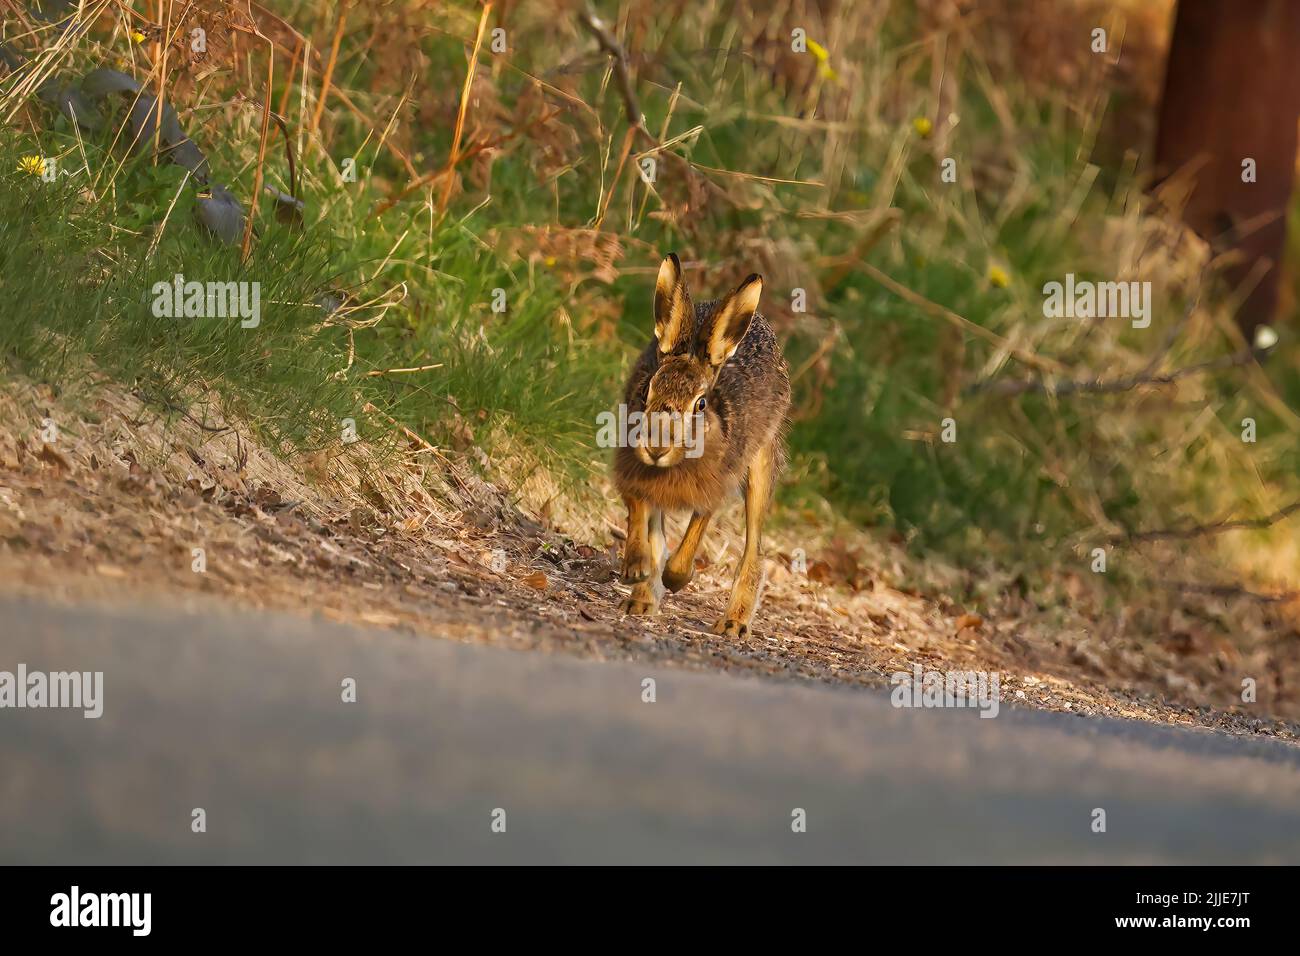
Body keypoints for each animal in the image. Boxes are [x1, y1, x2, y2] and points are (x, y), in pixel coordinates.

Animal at [613, 253, 791, 638]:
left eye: (701, 404)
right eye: (646, 390)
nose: (656, 448)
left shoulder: (717, 482)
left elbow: (696, 529)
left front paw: (677, 578)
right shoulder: (631, 473)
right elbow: (641, 519)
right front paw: (636, 569)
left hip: (760, 464)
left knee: (754, 547)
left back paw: (734, 623)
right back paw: (642, 599)